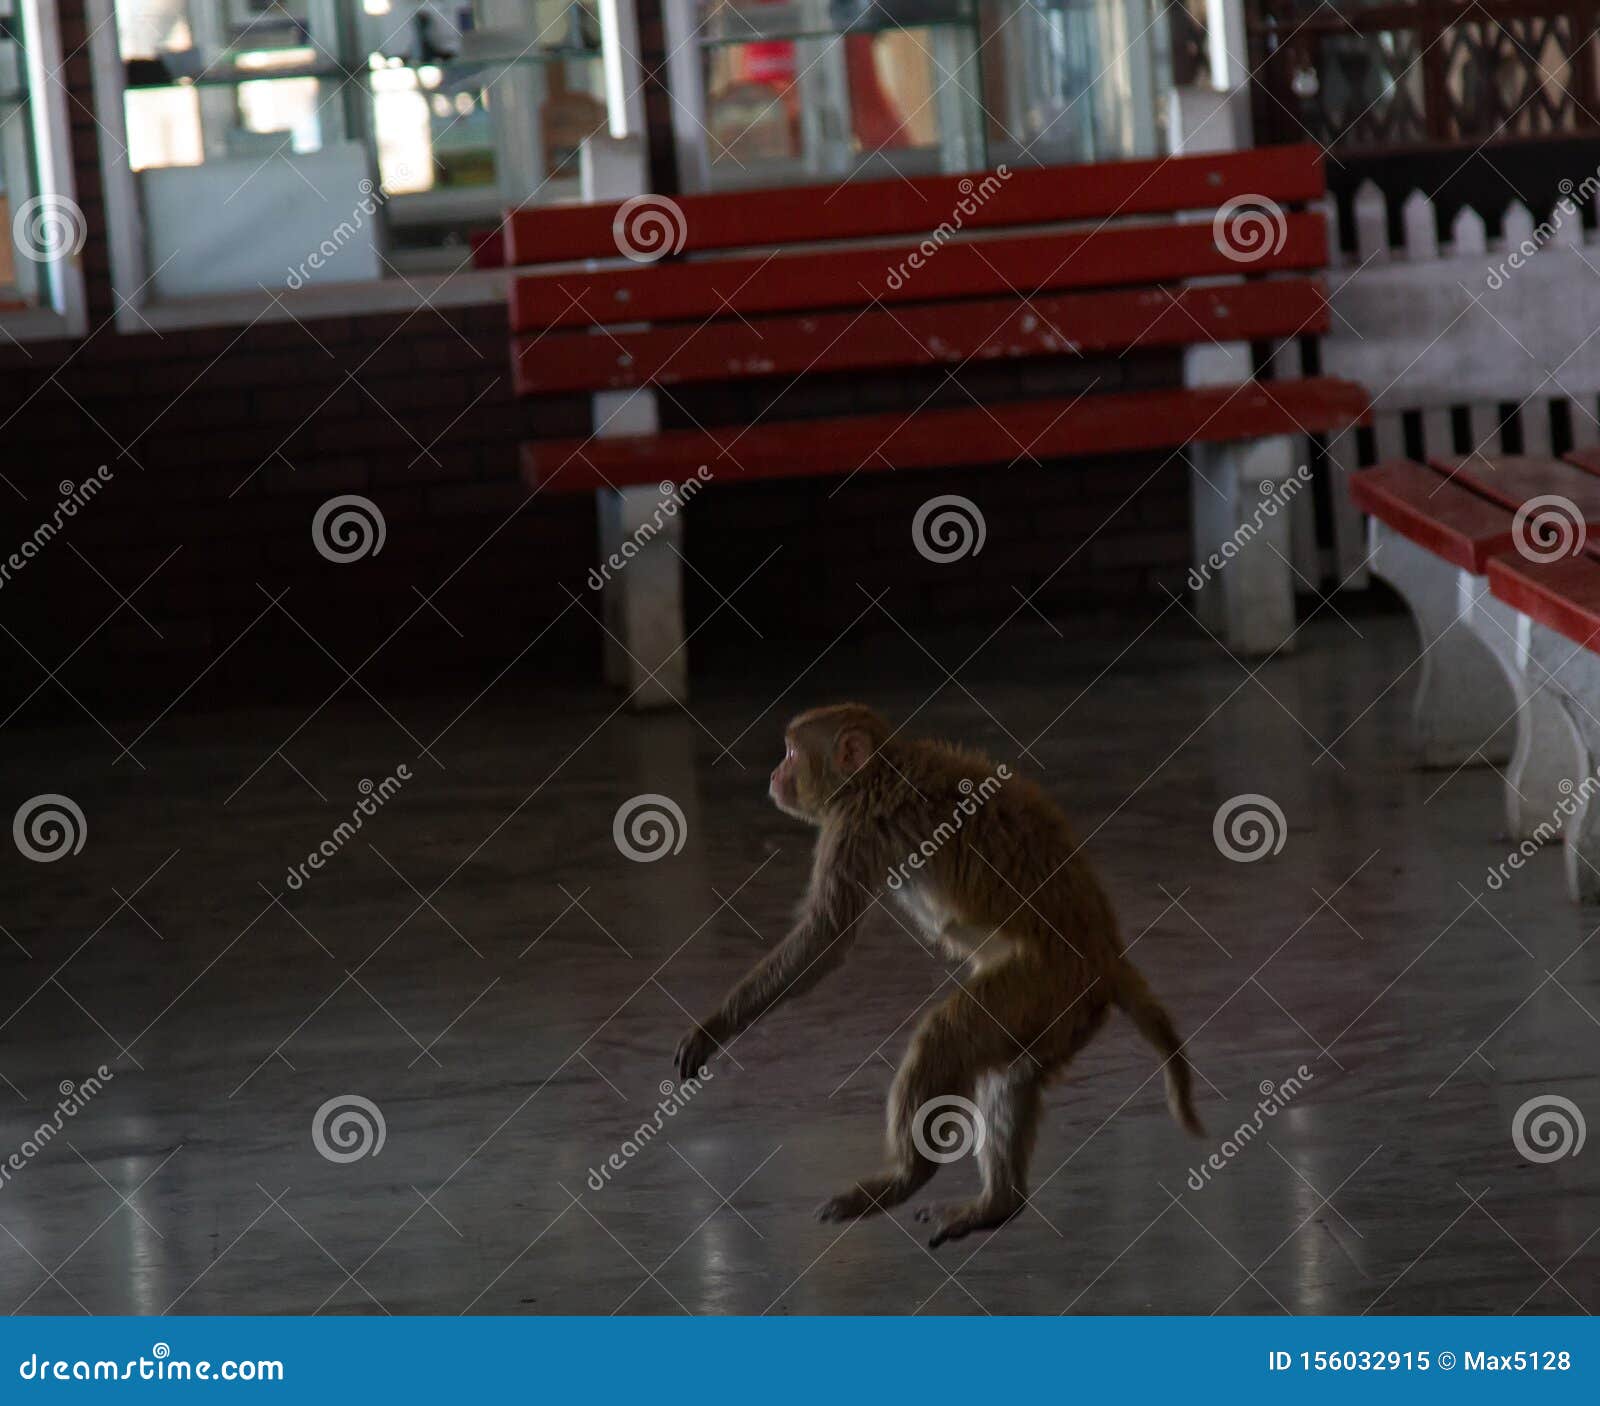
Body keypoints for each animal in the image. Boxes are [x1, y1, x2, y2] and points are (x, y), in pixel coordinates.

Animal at [674, 703, 1205, 1248]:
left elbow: (823, 943)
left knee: (945, 1038)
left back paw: (907, 1176)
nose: (776, 774)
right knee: (1013, 1071)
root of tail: (1104, 950)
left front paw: (716, 1027)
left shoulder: (852, 827)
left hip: (1044, 982)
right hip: (1065, 1009)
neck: (878, 771)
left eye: (792, 753)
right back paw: (999, 1204)